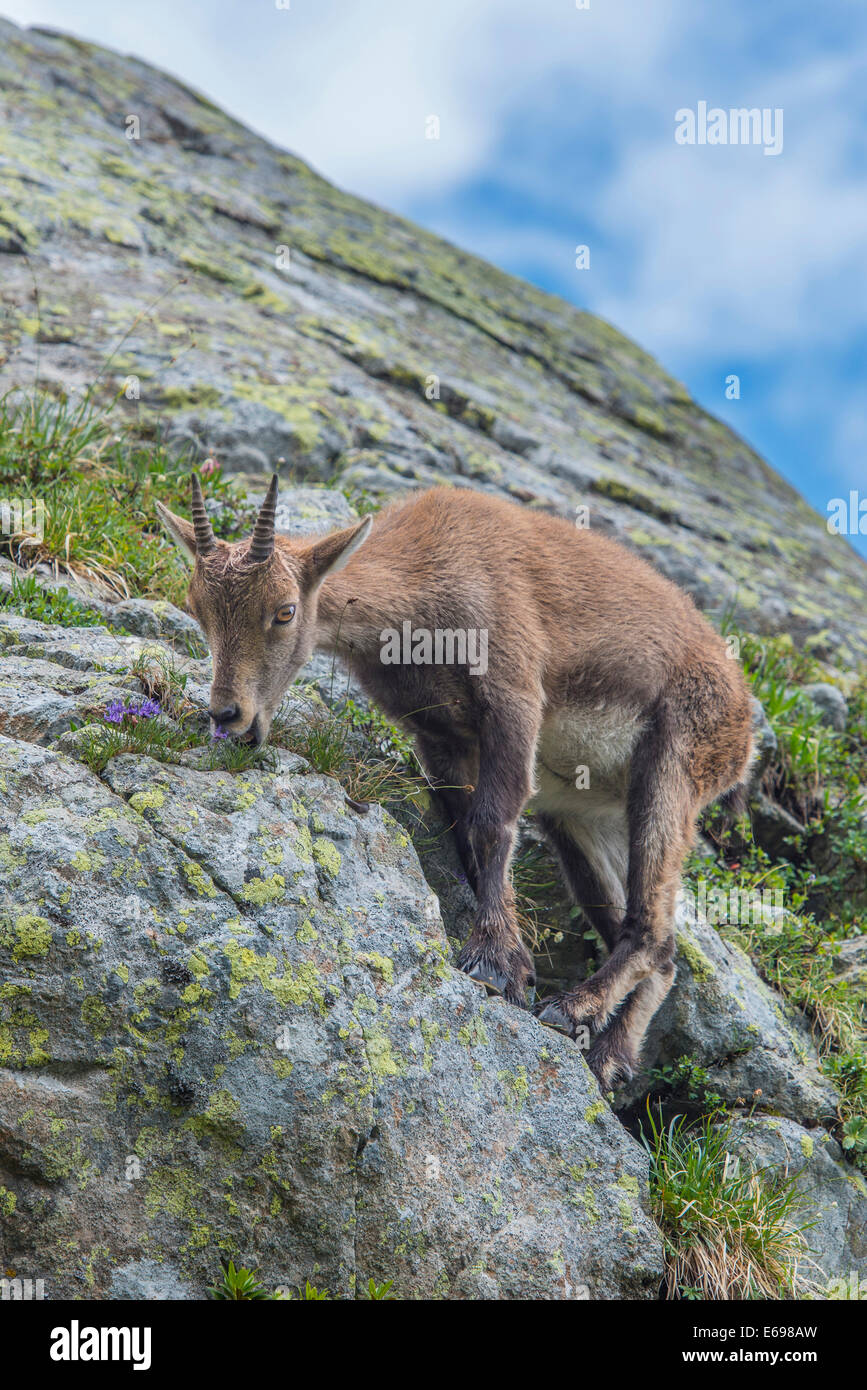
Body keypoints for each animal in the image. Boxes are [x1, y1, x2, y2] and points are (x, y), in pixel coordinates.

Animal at [156, 475, 754, 1088]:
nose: (229, 717)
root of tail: (745, 721)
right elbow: (467, 834)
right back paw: (611, 1054)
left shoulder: (512, 693)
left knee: (652, 932)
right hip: (582, 818)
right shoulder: (439, 737)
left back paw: (574, 1010)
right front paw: (511, 958)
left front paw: (493, 962)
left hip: (672, 769)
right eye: (198, 609)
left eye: (284, 611)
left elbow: (492, 824)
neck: (425, 581)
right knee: (661, 949)